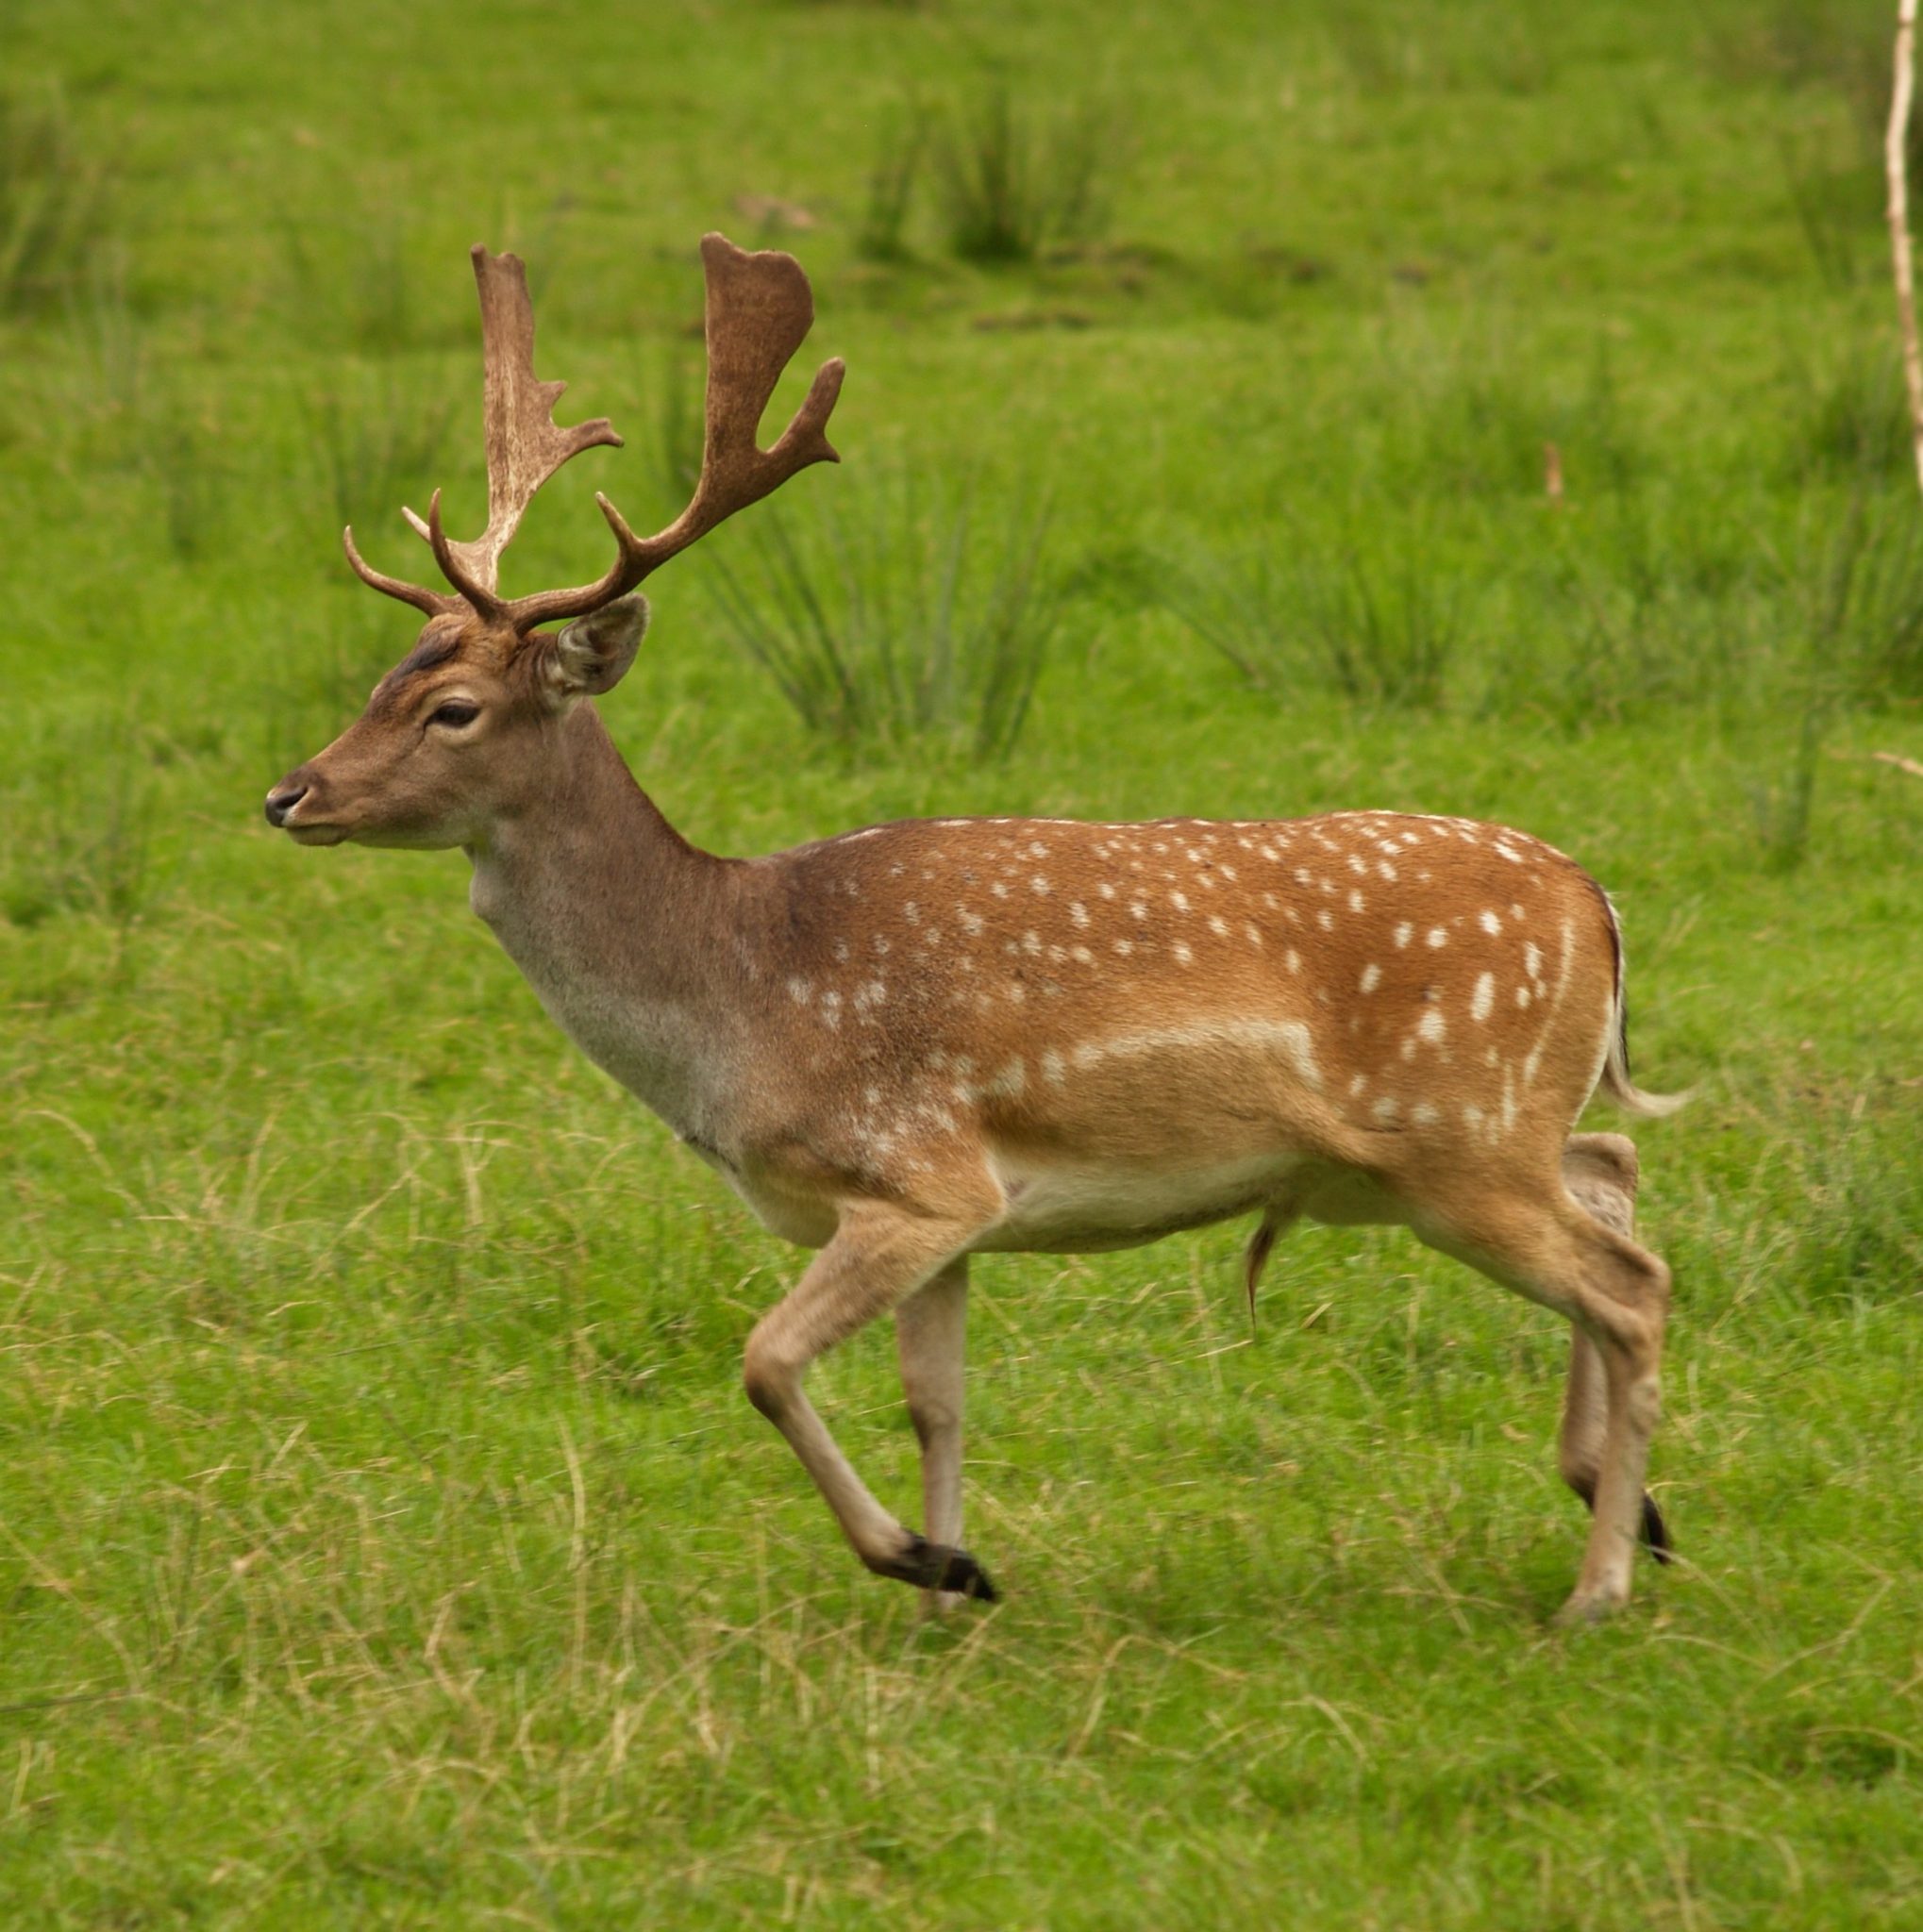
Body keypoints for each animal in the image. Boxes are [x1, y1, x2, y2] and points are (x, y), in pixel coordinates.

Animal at [266, 235, 1682, 1627]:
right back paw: (1633, 1506)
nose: (289, 794)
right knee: (1612, 1170)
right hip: (1466, 1140)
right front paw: (954, 1587)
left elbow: (765, 1361)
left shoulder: (914, 1173)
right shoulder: (950, 1216)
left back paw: (1599, 1585)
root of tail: (1595, 899)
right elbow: (933, 1401)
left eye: (451, 707)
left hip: (1457, 1137)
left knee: (1630, 1283)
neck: (737, 1001)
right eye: (379, 678)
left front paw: (923, 1560)